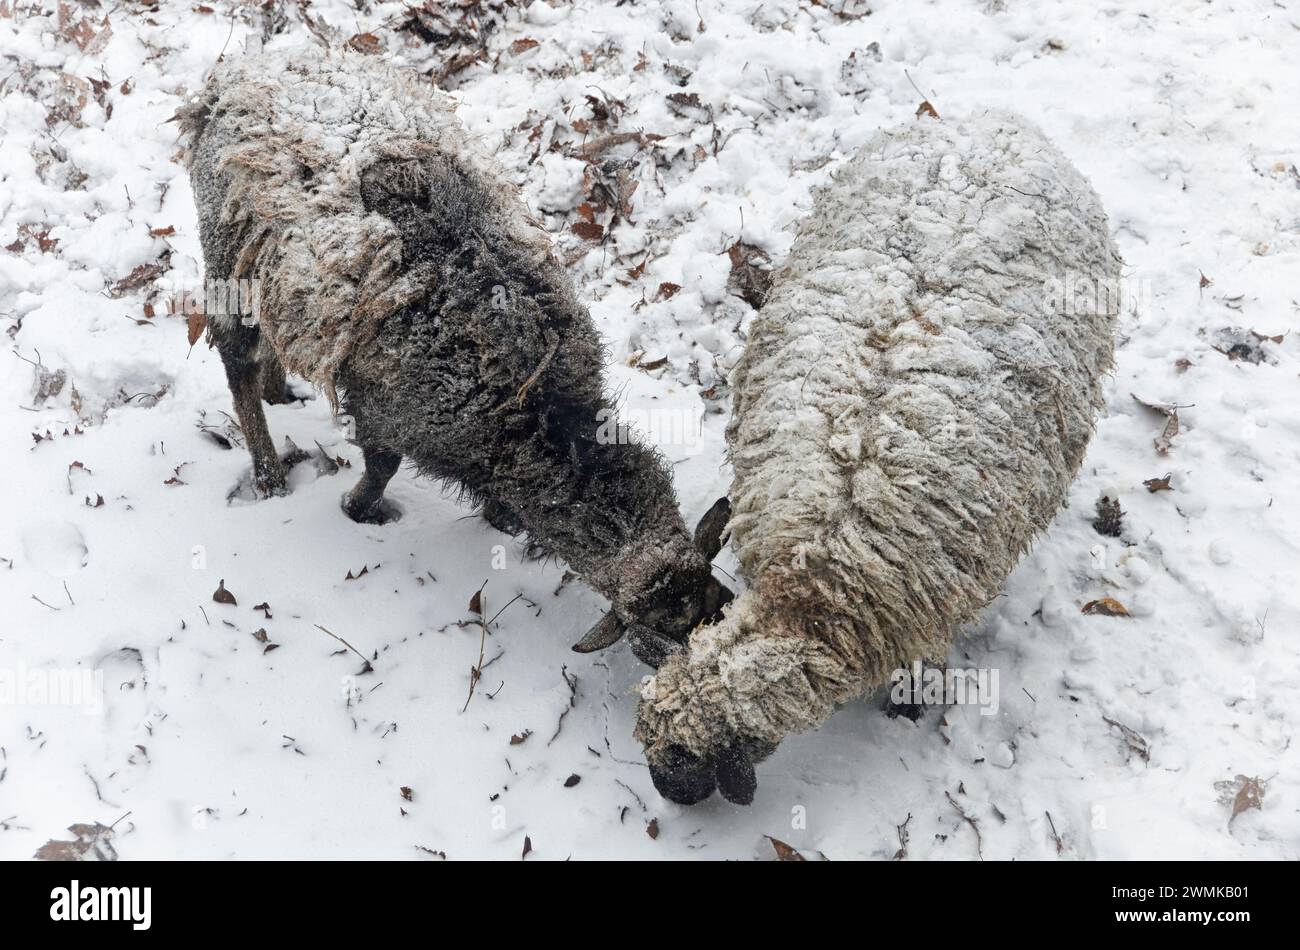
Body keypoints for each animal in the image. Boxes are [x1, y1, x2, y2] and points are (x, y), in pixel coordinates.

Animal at [179, 49, 731, 654]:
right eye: (662, 641)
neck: (534, 401)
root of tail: (238, 71)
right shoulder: (388, 406)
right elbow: (383, 465)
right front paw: (358, 511)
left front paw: (501, 518)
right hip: (229, 253)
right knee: (237, 359)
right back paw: (268, 474)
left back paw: (281, 393)